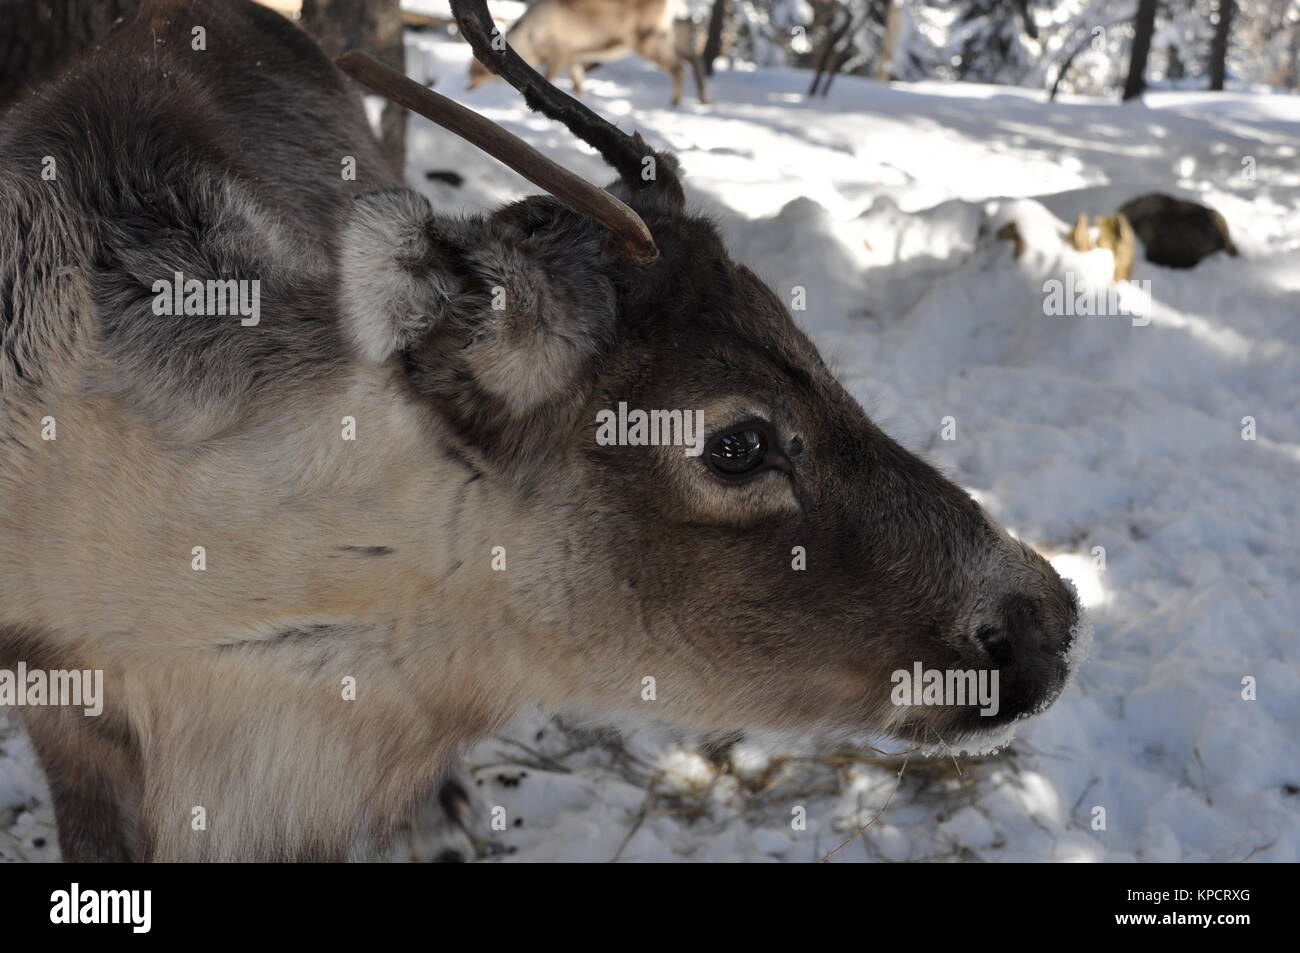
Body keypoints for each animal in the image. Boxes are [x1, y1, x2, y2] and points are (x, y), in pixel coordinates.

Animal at [465, 0, 711, 106]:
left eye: (479, 72)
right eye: (470, 73)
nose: (467, 88)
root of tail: (678, 5)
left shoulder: (560, 52)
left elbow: (549, 77)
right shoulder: (572, 56)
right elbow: (578, 82)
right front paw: (582, 96)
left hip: (648, 39)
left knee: (678, 68)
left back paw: (675, 102)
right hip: (671, 36)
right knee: (694, 59)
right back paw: (703, 98)